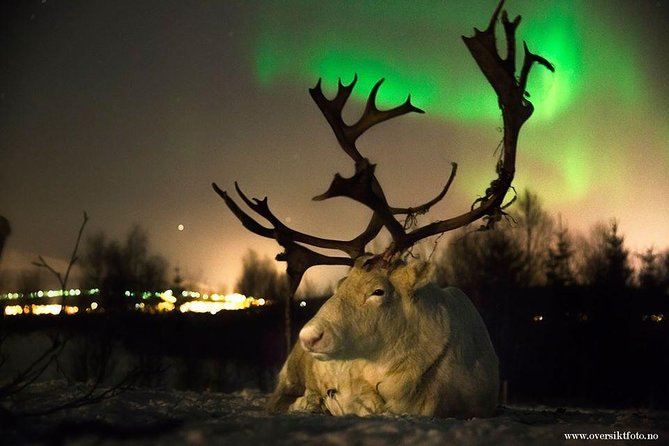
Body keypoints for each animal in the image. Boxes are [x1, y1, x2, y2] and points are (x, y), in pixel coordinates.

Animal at [213, 0, 553, 418]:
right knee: (278, 395)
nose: (311, 334)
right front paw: (319, 401)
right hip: (289, 368)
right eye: (340, 284)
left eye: (378, 291)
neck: (412, 393)